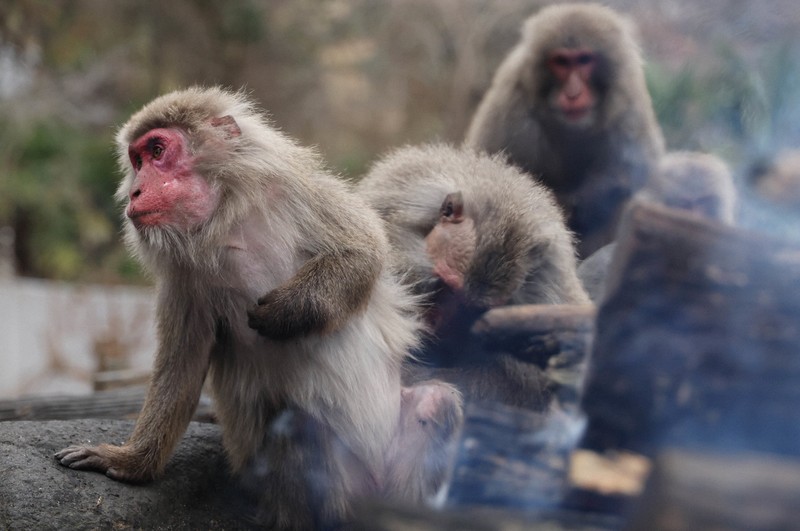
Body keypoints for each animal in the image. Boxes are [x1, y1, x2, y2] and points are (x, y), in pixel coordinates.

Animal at [53, 87, 457, 528]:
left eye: (157, 150)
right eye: (137, 161)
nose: (135, 191)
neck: (225, 224)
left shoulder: (291, 189)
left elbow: (364, 251)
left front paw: (288, 312)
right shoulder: (182, 274)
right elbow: (183, 367)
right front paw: (131, 462)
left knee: (435, 401)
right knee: (294, 425)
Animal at [465, 3, 665, 259]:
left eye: (584, 59)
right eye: (561, 61)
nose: (573, 93)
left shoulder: (629, 100)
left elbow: (633, 172)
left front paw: (581, 205)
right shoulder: (511, 102)